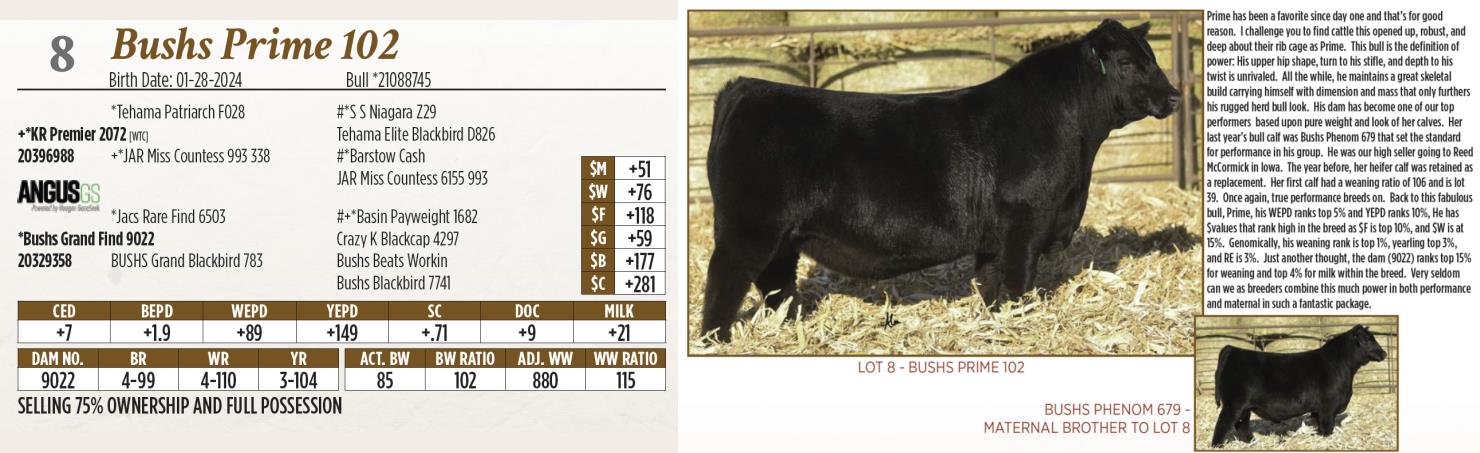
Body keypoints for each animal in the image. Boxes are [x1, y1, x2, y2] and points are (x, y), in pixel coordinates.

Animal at [699, 20, 1181, 342]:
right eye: (1126, 63)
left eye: (1154, 58)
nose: (1175, 95)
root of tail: (744, 87)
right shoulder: (1027, 222)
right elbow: (1018, 280)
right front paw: (1018, 321)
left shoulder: (995, 236)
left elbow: (991, 283)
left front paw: (994, 322)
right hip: (749, 226)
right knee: (726, 275)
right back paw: (715, 340)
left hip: (782, 235)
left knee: (774, 280)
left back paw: (787, 325)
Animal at [1211, 325, 1389, 447]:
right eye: (1368, 340)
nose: (1384, 353)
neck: (1341, 364)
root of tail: (1232, 349)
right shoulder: (1328, 407)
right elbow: (1327, 428)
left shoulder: (1318, 409)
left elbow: (1319, 426)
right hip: (1234, 404)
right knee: (1222, 424)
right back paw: (1217, 446)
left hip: (1245, 407)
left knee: (1242, 426)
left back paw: (1252, 442)